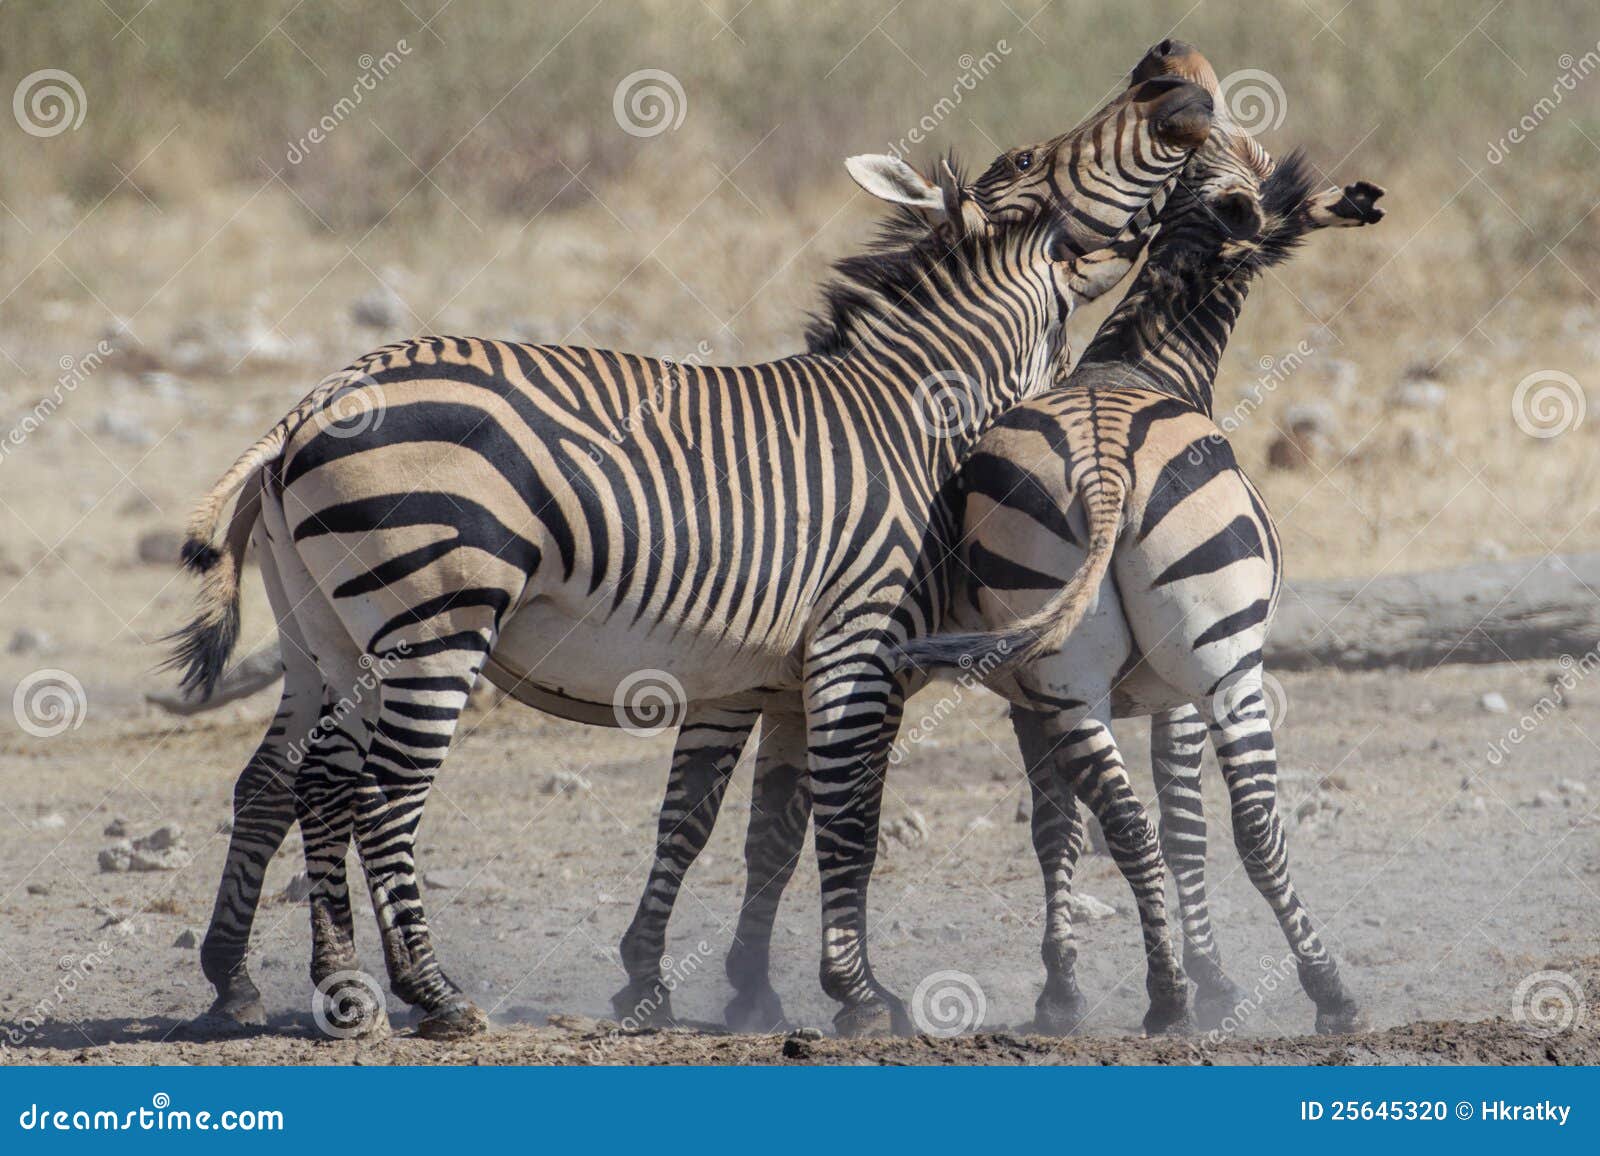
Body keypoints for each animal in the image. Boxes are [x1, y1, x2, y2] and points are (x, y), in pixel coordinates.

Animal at [173, 75, 1217, 1041]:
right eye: (1037, 163)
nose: (1177, 100)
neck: (922, 416)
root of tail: (314, 401)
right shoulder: (858, 644)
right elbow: (850, 819)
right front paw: (861, 996)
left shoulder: (764, 676)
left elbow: (746, 826)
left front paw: (708, 989)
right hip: (435, 621)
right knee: (381, 795)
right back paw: (432, 995)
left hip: (330, 636)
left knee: (296, 780)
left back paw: (292, 987)